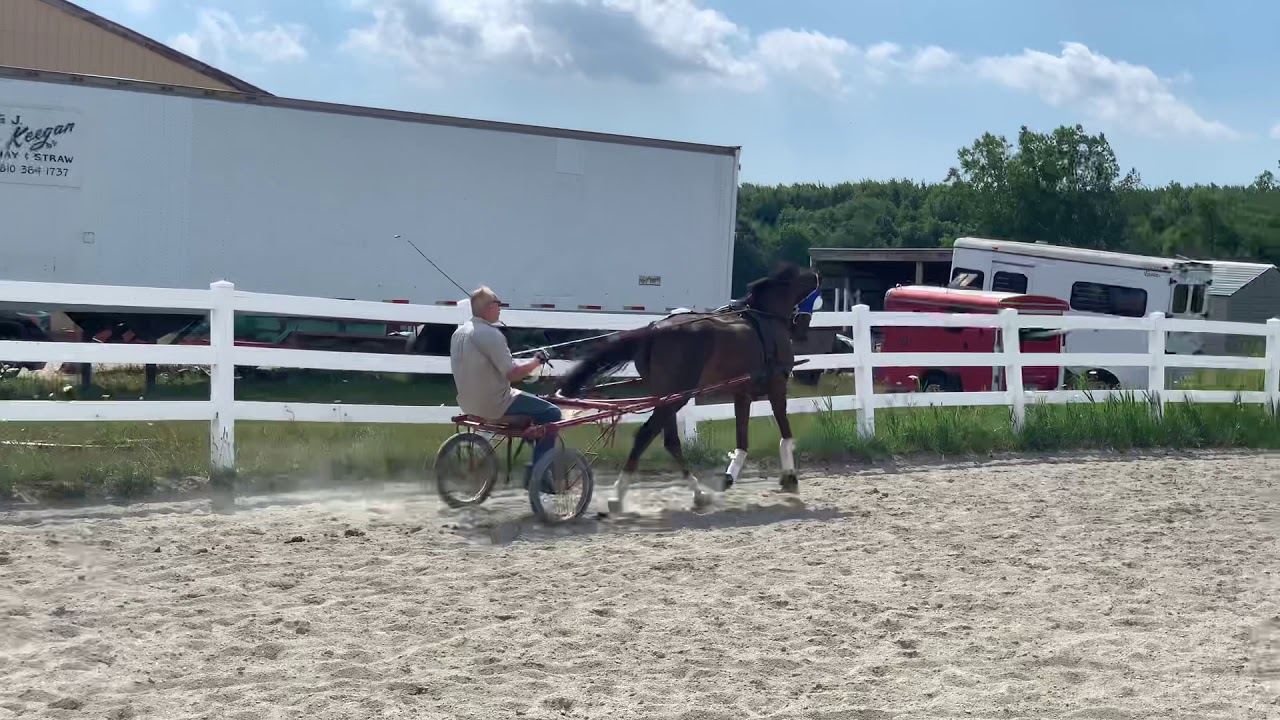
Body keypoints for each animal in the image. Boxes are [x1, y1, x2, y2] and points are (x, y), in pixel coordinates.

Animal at [556, 263, 821, 514]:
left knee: (669, 440)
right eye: (817, 299)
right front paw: (790, 478)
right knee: (647, 435)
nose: (803, 331)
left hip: (666, 396)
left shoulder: (742, 394)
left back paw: (692, 493)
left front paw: (728, 477)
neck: (765, 318)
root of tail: (655, 330)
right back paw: (625, 495)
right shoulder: (777, 387)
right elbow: (786, 435)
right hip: (677, 396)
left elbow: (742, 441)